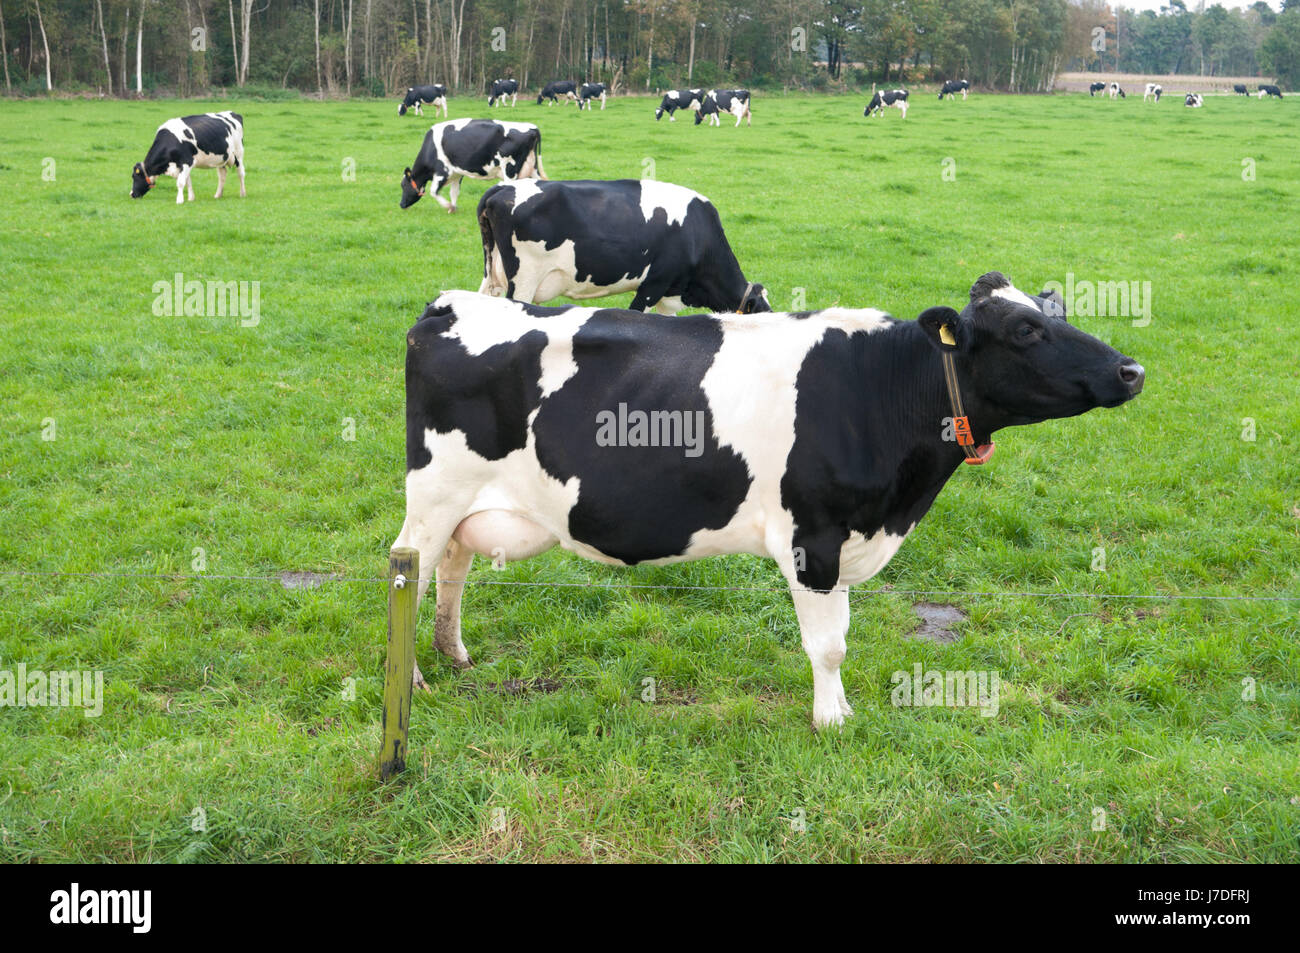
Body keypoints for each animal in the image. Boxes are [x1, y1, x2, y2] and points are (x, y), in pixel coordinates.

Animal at [392, 271, 1145, 729]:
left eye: (1056, 311)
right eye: (1025, 331)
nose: (1131, 370)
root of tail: (450, 304)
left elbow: (841, 634)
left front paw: (837, 711)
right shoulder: (813, 537)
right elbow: (829, 644)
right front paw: (832, 719)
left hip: (465, 506)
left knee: (454, 568)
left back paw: (454, 654)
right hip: (432, 496)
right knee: (413, 569)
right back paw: (417, 681)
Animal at [399, 118, 545, 213]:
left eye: (403, 185)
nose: (401, 204)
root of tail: (532, 128)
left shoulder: (442, 171)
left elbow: (433, 191)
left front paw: (448, 206)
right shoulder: (456, 173)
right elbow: (454, 192)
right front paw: (453, 208)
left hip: (510, 169)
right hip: (533, 168)